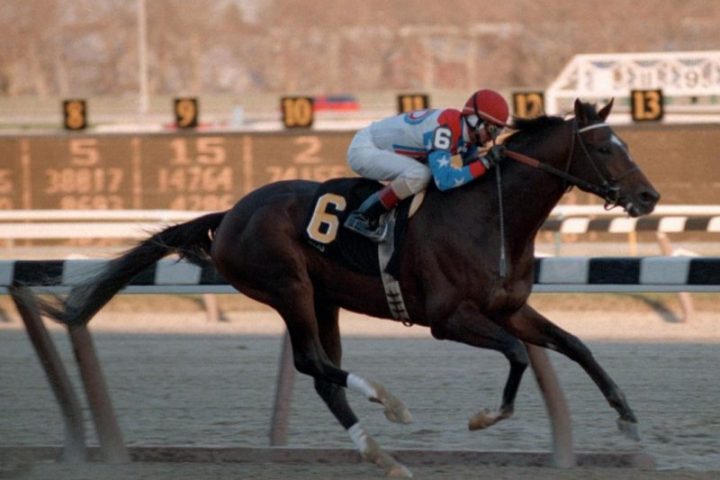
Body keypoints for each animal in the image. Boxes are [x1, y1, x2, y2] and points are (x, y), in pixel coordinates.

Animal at [38, 99, 659, 477]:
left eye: (626, 144)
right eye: (605, 147)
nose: (649, 198)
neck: (491, 214)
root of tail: (230, 213)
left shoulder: (508, 308)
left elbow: (574, 345)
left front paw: (629, 420)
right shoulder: (447, 319)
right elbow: (517, 356)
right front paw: (487, 417)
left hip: (324, 298)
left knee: (322, 377)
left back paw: (381, 454)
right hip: (287, 288)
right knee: (313, 364)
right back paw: (389, 403)